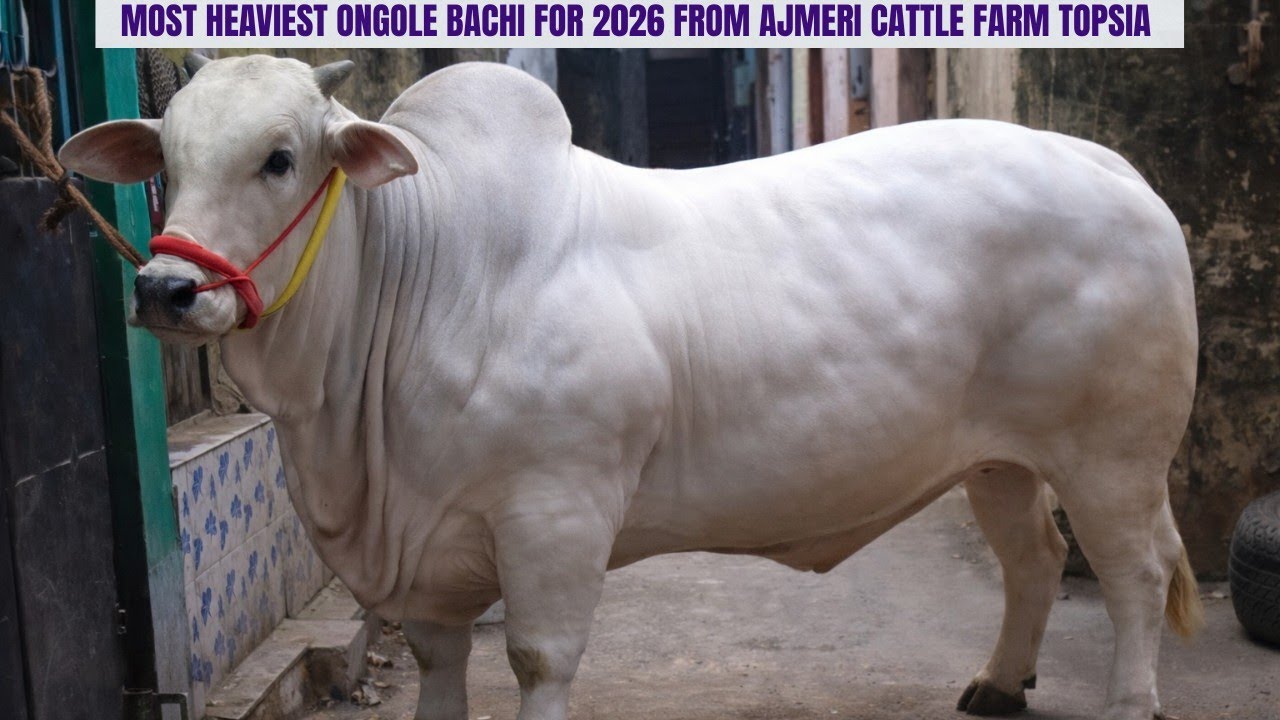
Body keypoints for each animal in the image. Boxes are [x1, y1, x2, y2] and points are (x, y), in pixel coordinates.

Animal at [60, 54, 1203, 720]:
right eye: (164, 159)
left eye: (280, 157)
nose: (166, 288)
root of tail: (1110, 166)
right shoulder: (426, 554)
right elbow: (436, 661)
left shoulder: (555, 515)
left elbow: (536, 659)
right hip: (997, 457)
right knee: (1032, 557)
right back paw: (997, 685)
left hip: (1112, 457)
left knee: (1134, 573)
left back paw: (1129, 703)